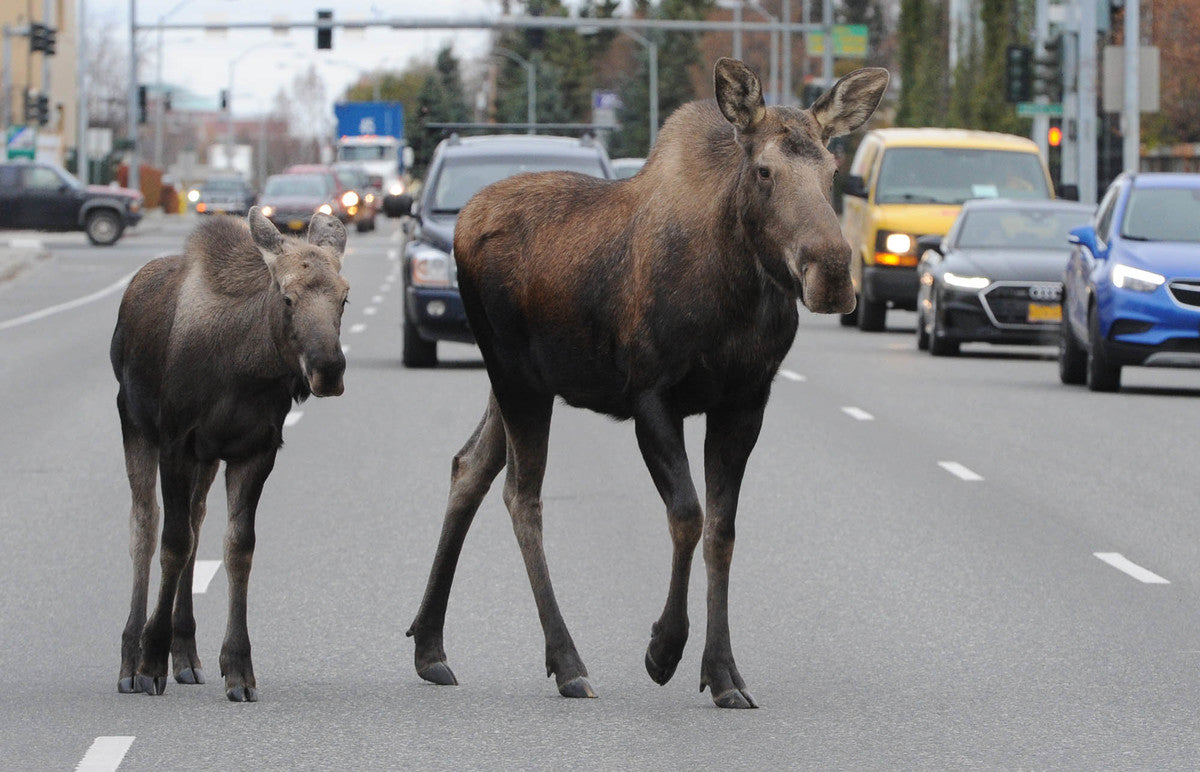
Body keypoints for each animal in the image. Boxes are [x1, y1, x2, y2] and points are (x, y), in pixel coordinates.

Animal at [110, 208, 349, 701]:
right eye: (287, 298)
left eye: (344, 298)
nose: (329, 369)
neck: (245, 368)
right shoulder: (175, 442)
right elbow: (173, 544)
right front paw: (150, 659)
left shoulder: (255, 451)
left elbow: (238, 547)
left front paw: (237, 665)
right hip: (134, 425)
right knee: (145, 524)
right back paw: (129, 659)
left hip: (206, 457)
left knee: (197, 520)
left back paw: (186, 655)